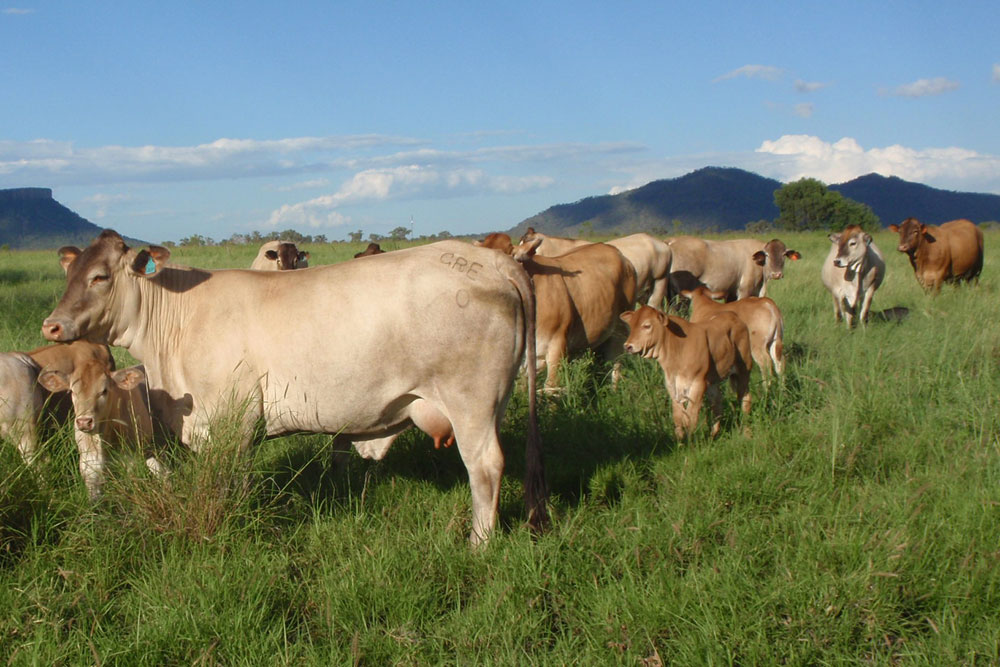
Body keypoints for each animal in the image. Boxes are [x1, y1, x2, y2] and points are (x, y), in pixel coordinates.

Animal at [620, 306, 751, 440]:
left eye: (647, 325)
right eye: (631, 325)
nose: (628, 346)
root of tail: (732, 315)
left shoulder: (698, 384)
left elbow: (690, 417)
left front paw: (691, 441)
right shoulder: (672, 385)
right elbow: (679, 417)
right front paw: (680, 440)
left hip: (744, 370)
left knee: (745, 399)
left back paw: (746, 432)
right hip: (713, 381)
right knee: (717, 404)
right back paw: (712, 435)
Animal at [666, 236, 801, 302]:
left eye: (784, 255)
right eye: (767, 255)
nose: (776, 274)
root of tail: (672, 241)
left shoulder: (731, 292)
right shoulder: (745, 290)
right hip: (684, 292)